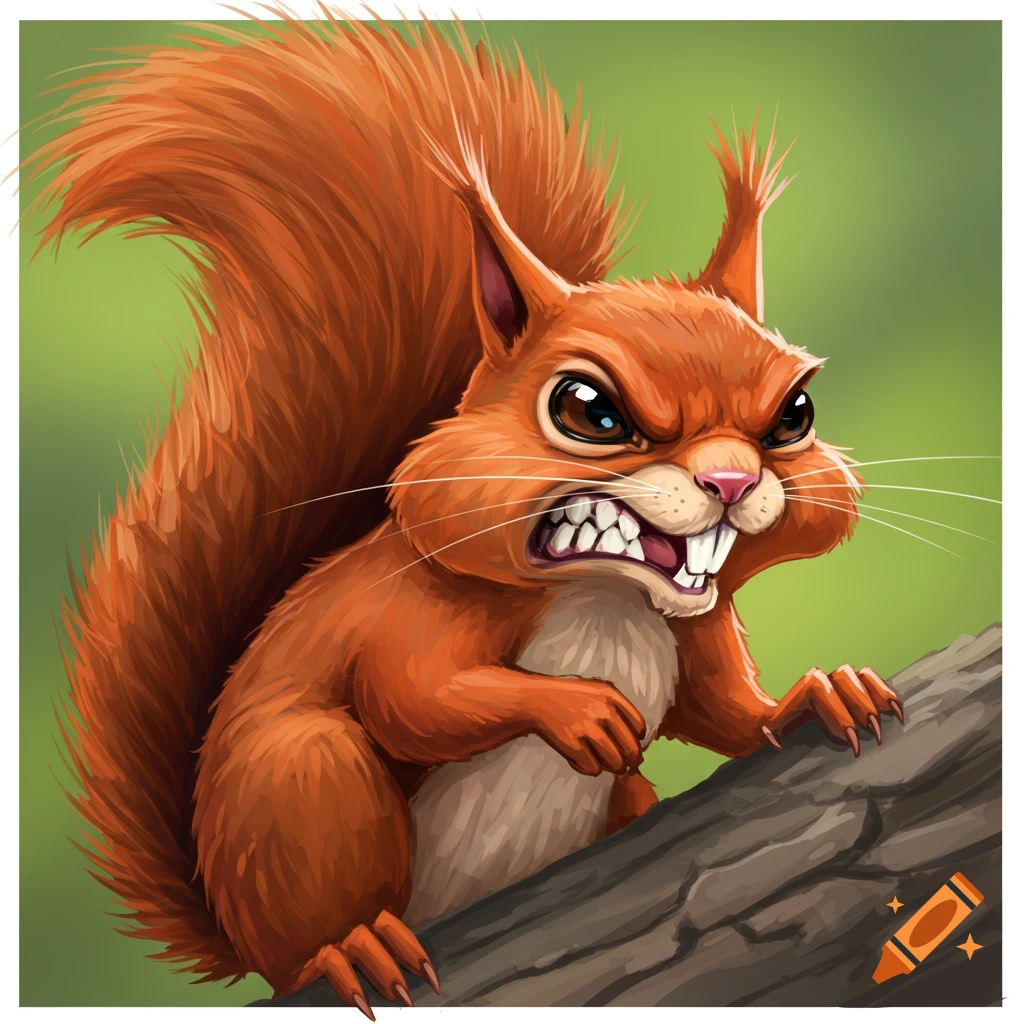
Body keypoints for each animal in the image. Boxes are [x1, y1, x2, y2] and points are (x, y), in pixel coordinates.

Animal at [32, 6, 905, 1014]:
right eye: (587, 409)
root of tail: (233, 915)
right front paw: (577, 711)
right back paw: (349, 946)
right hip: (304, 782)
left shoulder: (694, 632)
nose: (730, 483)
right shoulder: (405, 612)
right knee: (313, 904)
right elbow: (416, 696)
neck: (604, 595)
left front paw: (818, 694)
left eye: (795, 413)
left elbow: (728, 711)